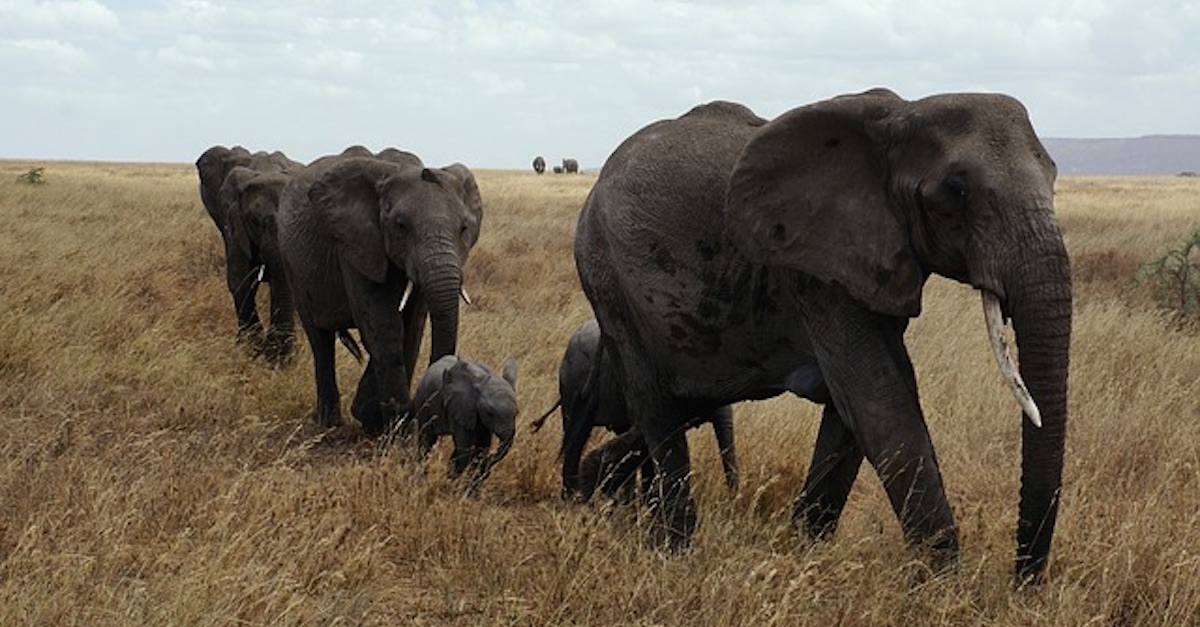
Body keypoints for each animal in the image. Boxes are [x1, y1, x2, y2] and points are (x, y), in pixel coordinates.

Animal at [277, 147, 483, 436]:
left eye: (464, 228)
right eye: (400, 225)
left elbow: (412, 327)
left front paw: (373, 419)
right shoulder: (356, 245)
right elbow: (384, 326)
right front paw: (397, 431)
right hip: (291, 263)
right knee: (320, 340)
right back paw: (329, 423)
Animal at [410, 355, 519, 491]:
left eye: (517, 413)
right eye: (489, 413)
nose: (487, 467)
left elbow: (482, 445)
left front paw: (472, 487)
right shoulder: (459, 406)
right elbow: (466, 446)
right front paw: (456, 486)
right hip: (423, 402)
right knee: (426, 439)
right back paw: (421, 479)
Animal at [572, 91, 1072, 583]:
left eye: (1053, 176)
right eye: (956, 190)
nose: (1022, 583)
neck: (904, 112)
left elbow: (855, 410)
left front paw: (802, 551)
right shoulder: (815, 271)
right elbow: (880, 400)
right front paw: (944, 586)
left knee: (678, 409)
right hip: (607, 280)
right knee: (657, 408)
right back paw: (675, 550)